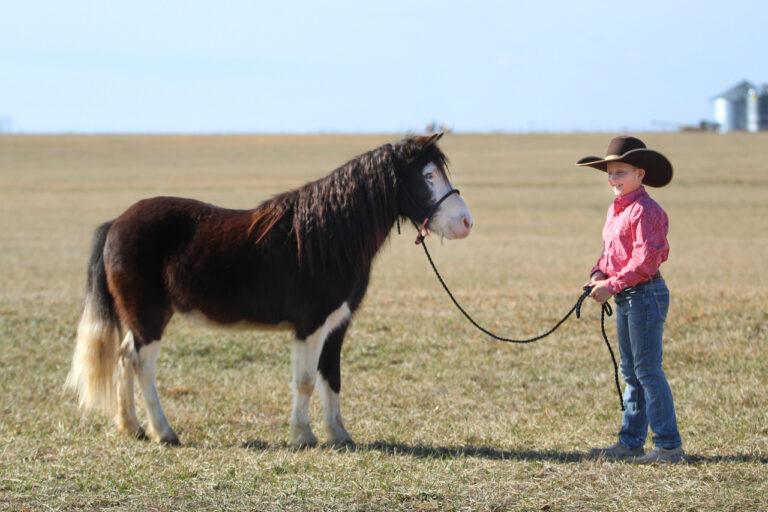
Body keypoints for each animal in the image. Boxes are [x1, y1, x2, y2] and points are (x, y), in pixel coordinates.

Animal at [65, 132, 473, 447]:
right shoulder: (310, 325)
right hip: (149, 316)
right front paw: (303, 436)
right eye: (428, 174)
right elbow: (305, 381)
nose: (466, 222)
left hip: (136, 318)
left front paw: (339, 435)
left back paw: (131, 426)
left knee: (123, 358)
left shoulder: (336, 325)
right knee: (142, 366)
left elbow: (332, 377)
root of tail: (116, 223)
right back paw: (164, 432)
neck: (328, 236)